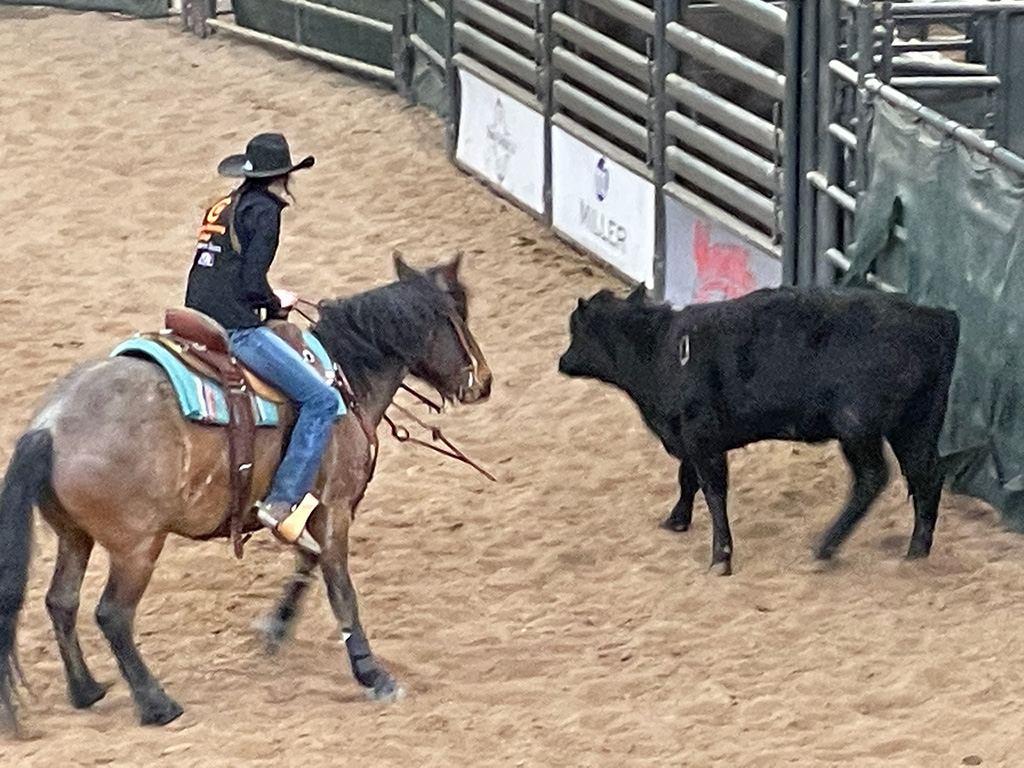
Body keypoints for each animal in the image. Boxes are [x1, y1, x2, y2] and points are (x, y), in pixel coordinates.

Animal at [0, 251, 492, 732]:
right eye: (460, 315)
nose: (483, 382)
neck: (343, 378)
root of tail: (49, 425)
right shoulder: (335, 507)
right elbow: (340, 588)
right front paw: (373, 674)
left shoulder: (307, 509)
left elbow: (307, 561)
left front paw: (276, 627)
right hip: (137, 546)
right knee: (112, 615)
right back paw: (157, 704)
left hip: (74, 536)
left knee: (61, 602)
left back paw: (85, 690)